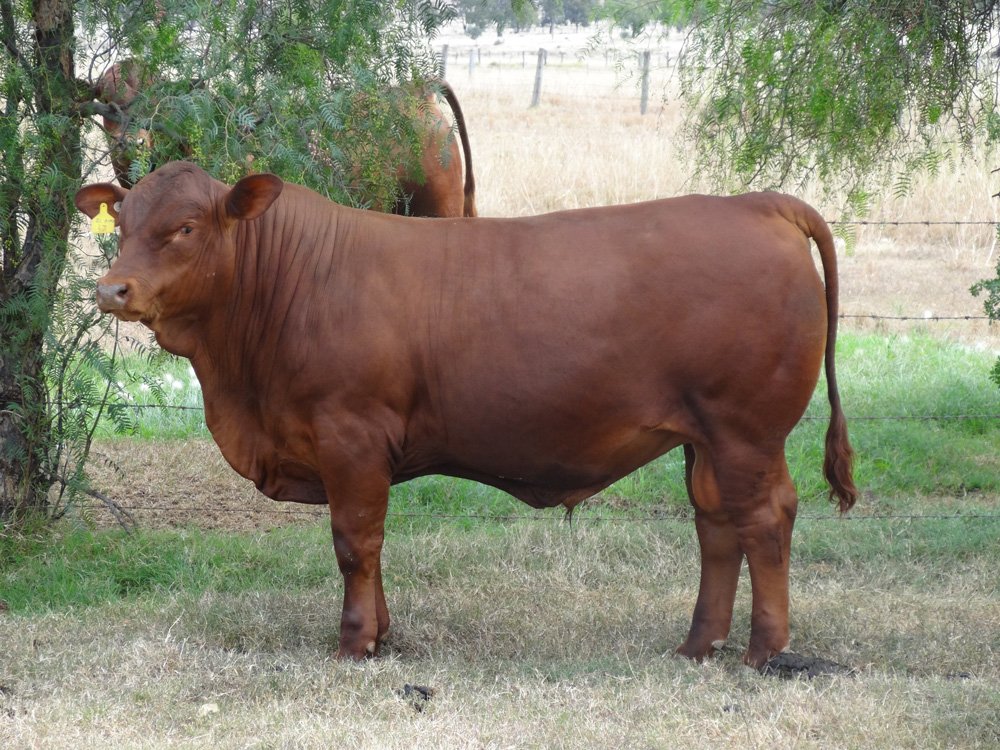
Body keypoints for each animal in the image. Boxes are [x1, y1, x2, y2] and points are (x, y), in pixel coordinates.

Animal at [75, 161, 857, 669]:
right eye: (125, 224)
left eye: (184, 227)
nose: (112, 289)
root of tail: (755, 203)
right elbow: (370, 546)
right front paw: (384, 637)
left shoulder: (350, 435)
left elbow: (354, 541)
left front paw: (354, 644)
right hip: (703, 437)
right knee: (717, 525)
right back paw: (698, 646)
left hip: (746, 430)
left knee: (765, 520)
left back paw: (763, 651)